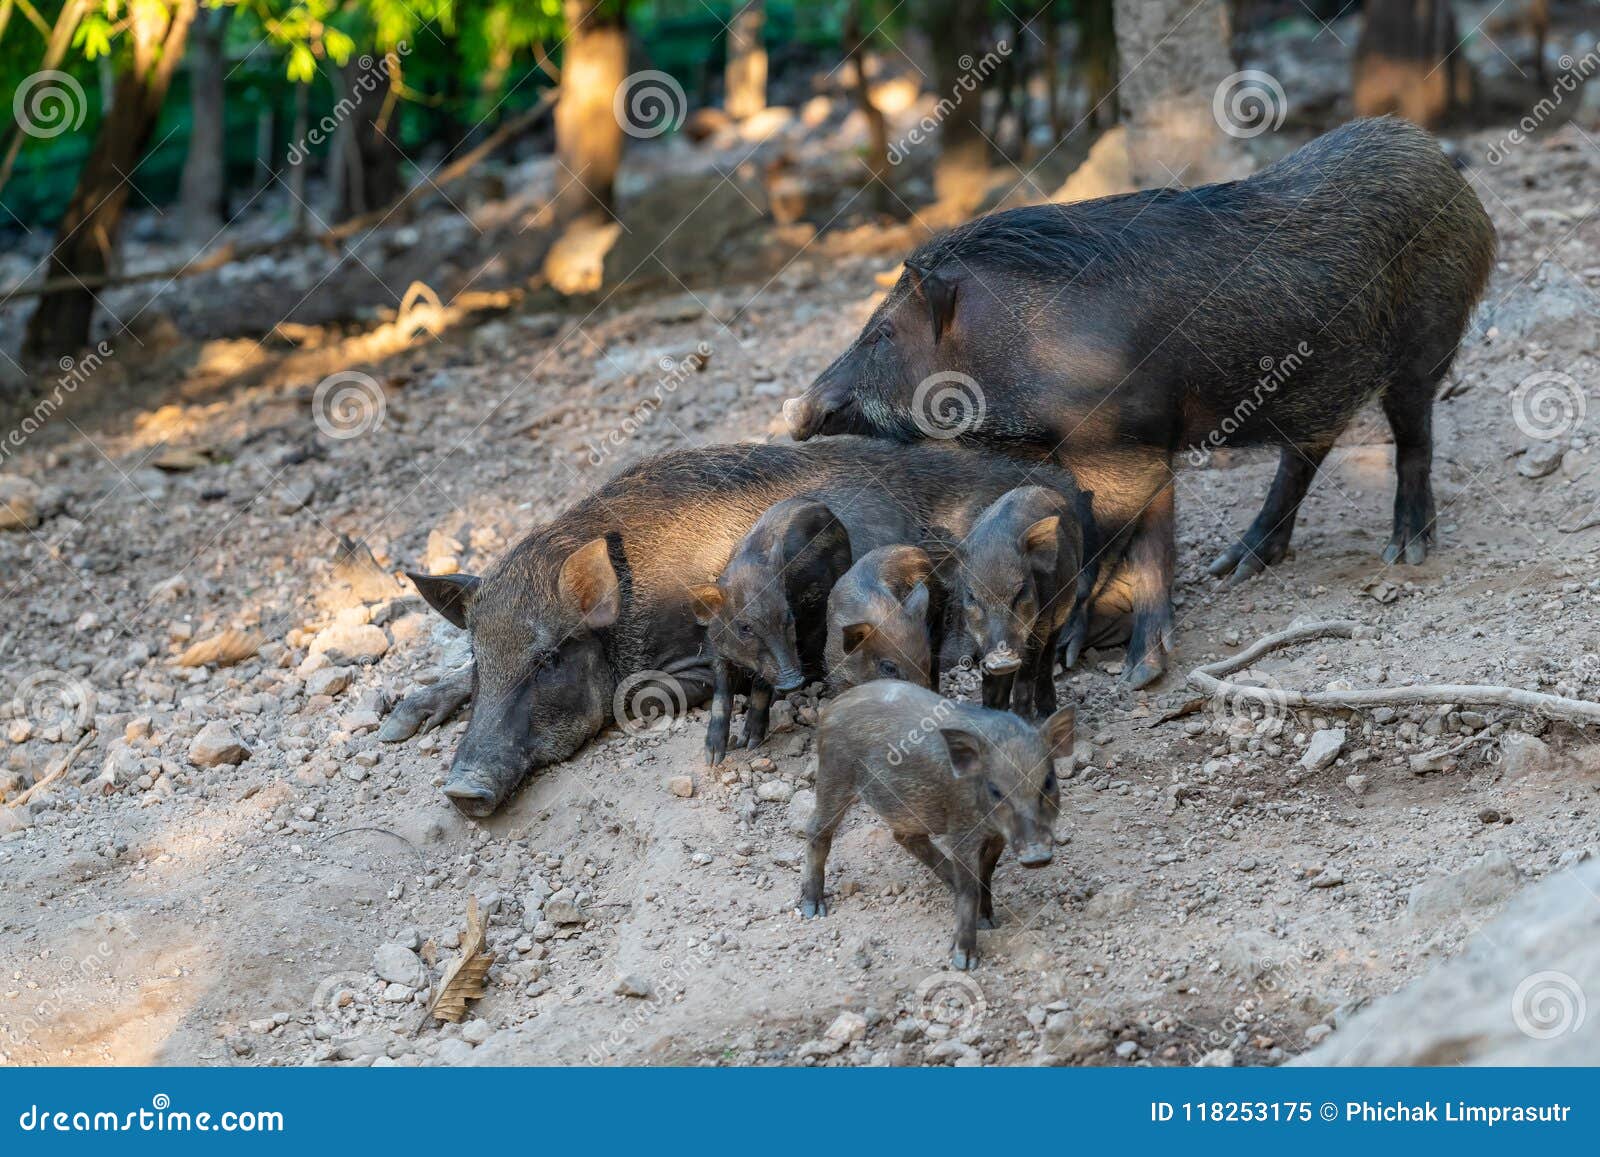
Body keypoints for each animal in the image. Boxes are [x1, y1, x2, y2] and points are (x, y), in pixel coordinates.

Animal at [688, 498, 852, 765]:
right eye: (745, 627)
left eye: (788, 618)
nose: (794, 681)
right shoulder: (717, 649)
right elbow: (721, 696)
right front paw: (712, 759)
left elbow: (761, 686)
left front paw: (751, 744)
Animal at [801, 680, 1075, 970]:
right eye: (995, 790)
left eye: (1048, 782)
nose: (1037, 857)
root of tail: (831, 707)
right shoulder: (961, 831)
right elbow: (969, 888)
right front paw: (964, 961)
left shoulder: (999, 836)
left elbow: (985, 873)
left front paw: (988, 921)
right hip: (834, 777)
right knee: (816, 829)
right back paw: (813, 909)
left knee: (904, 837)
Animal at [942, 485, 1092, 718]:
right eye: (972, 596)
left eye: (1021, 592)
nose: (1003, 658)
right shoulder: (979, 637)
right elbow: (989, 681)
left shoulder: (1040, 626)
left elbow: (1025, 678)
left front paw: (1025, 720)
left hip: (1060, 617)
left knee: (1046, 661)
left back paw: (1047, 713)